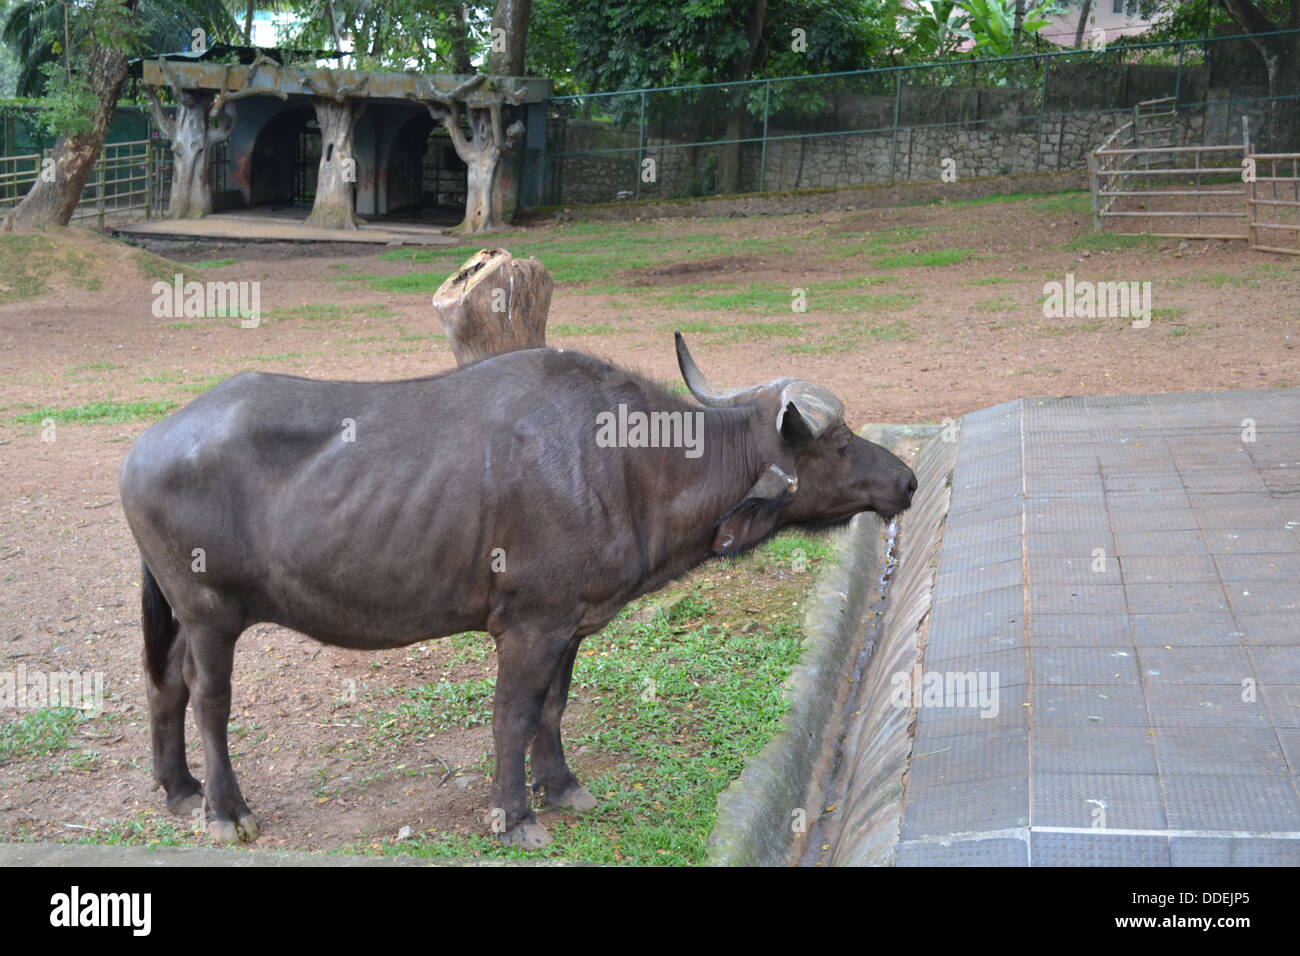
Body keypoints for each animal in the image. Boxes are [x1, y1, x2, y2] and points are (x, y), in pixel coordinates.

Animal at [119, 333, 916, 847]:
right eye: (839, 443)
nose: (907, 481)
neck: (628, 464)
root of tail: (144, 446)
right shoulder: (529, 628)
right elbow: (512, 717)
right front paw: (514, 815)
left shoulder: (570, 624)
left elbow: (553, 710)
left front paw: (559, 788)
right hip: (211, 611)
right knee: (209, 699)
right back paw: (225, 809)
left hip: (179, 613)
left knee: (165, 684)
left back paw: (178, 790)